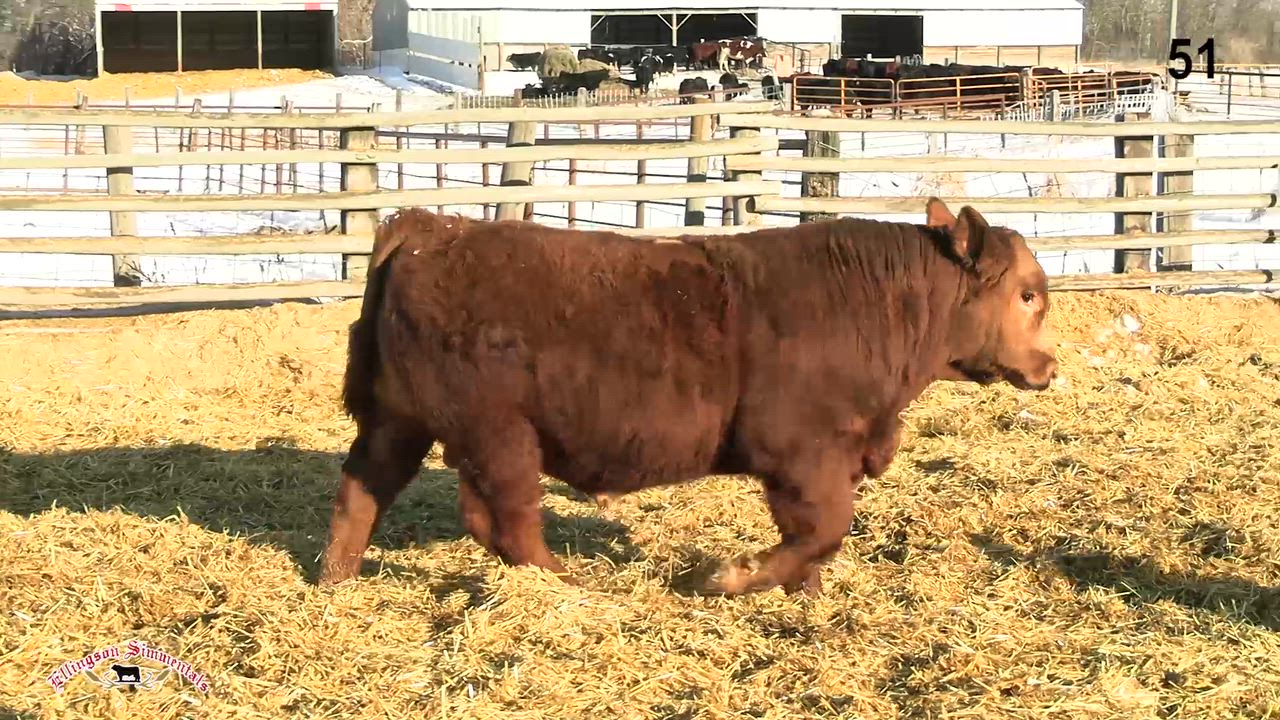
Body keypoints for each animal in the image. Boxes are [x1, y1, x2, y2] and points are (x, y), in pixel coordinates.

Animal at [318, 198, 1060, 597]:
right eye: (1028, 294)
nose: (1048, 367)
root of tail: (435, 229)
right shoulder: (804, 452)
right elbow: (823, 528)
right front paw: (732, 578)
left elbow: (818, 540)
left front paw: (806, 596)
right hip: (497, 434)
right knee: (505, 519)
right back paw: (571, 586)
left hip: (402, 422)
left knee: (363, 493)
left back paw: (334, 580)